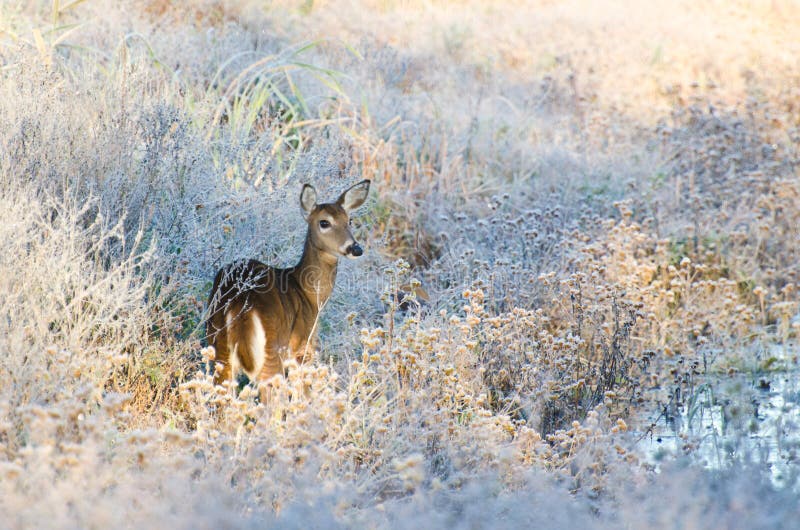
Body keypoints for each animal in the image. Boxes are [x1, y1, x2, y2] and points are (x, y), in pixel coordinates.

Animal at [206, 180, 370, 392]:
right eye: (324, 222)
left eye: (349, 220)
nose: (355, 248)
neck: (309, 294)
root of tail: (238, 303)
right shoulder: (302, 348)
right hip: (271, 350)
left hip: (219, 349)